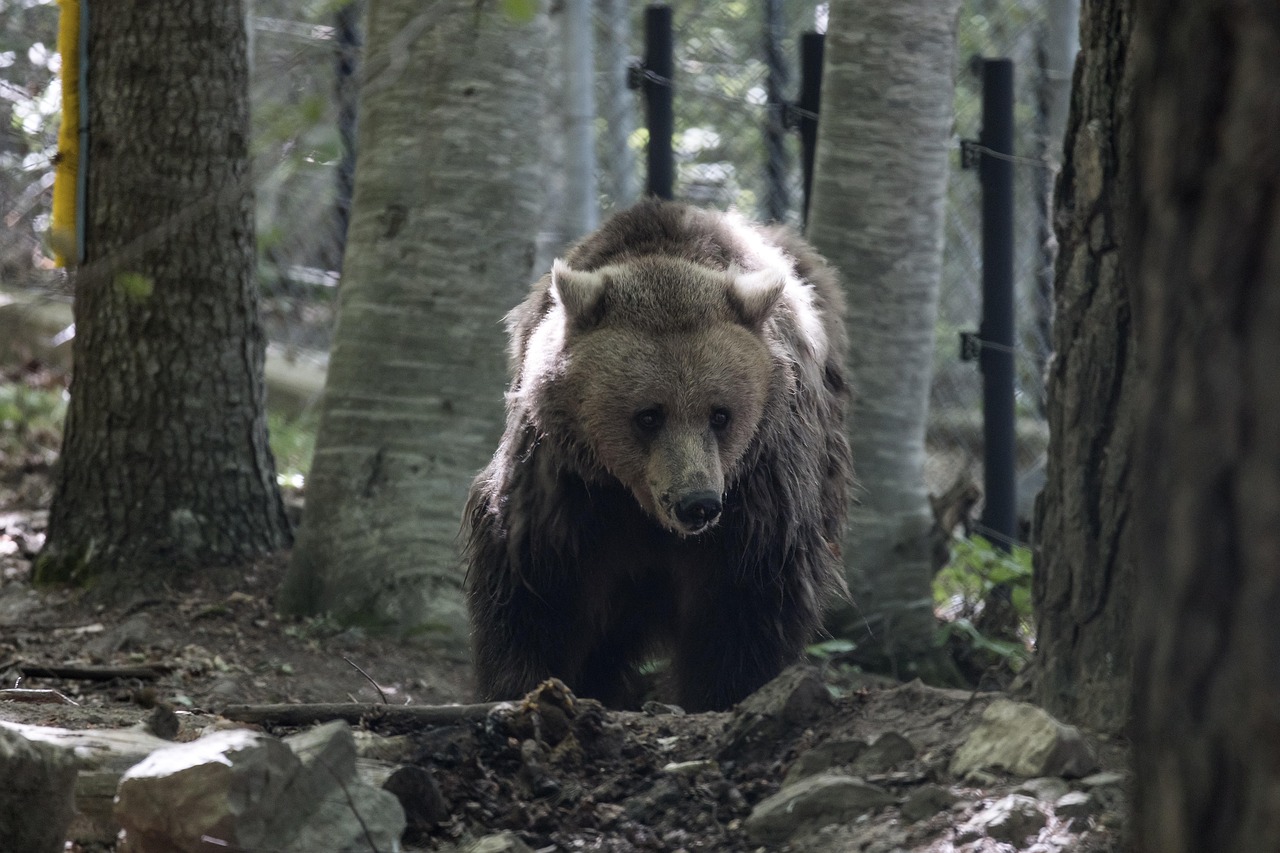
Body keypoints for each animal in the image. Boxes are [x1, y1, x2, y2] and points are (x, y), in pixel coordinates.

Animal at [463, 200, 851, 712]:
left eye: (720, 414)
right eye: (648, 415)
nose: (697, 504)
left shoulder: (760, 484)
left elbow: (748, 601)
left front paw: (728, 692)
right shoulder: (565, 480)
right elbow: (535, 586)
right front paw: (524, 685)